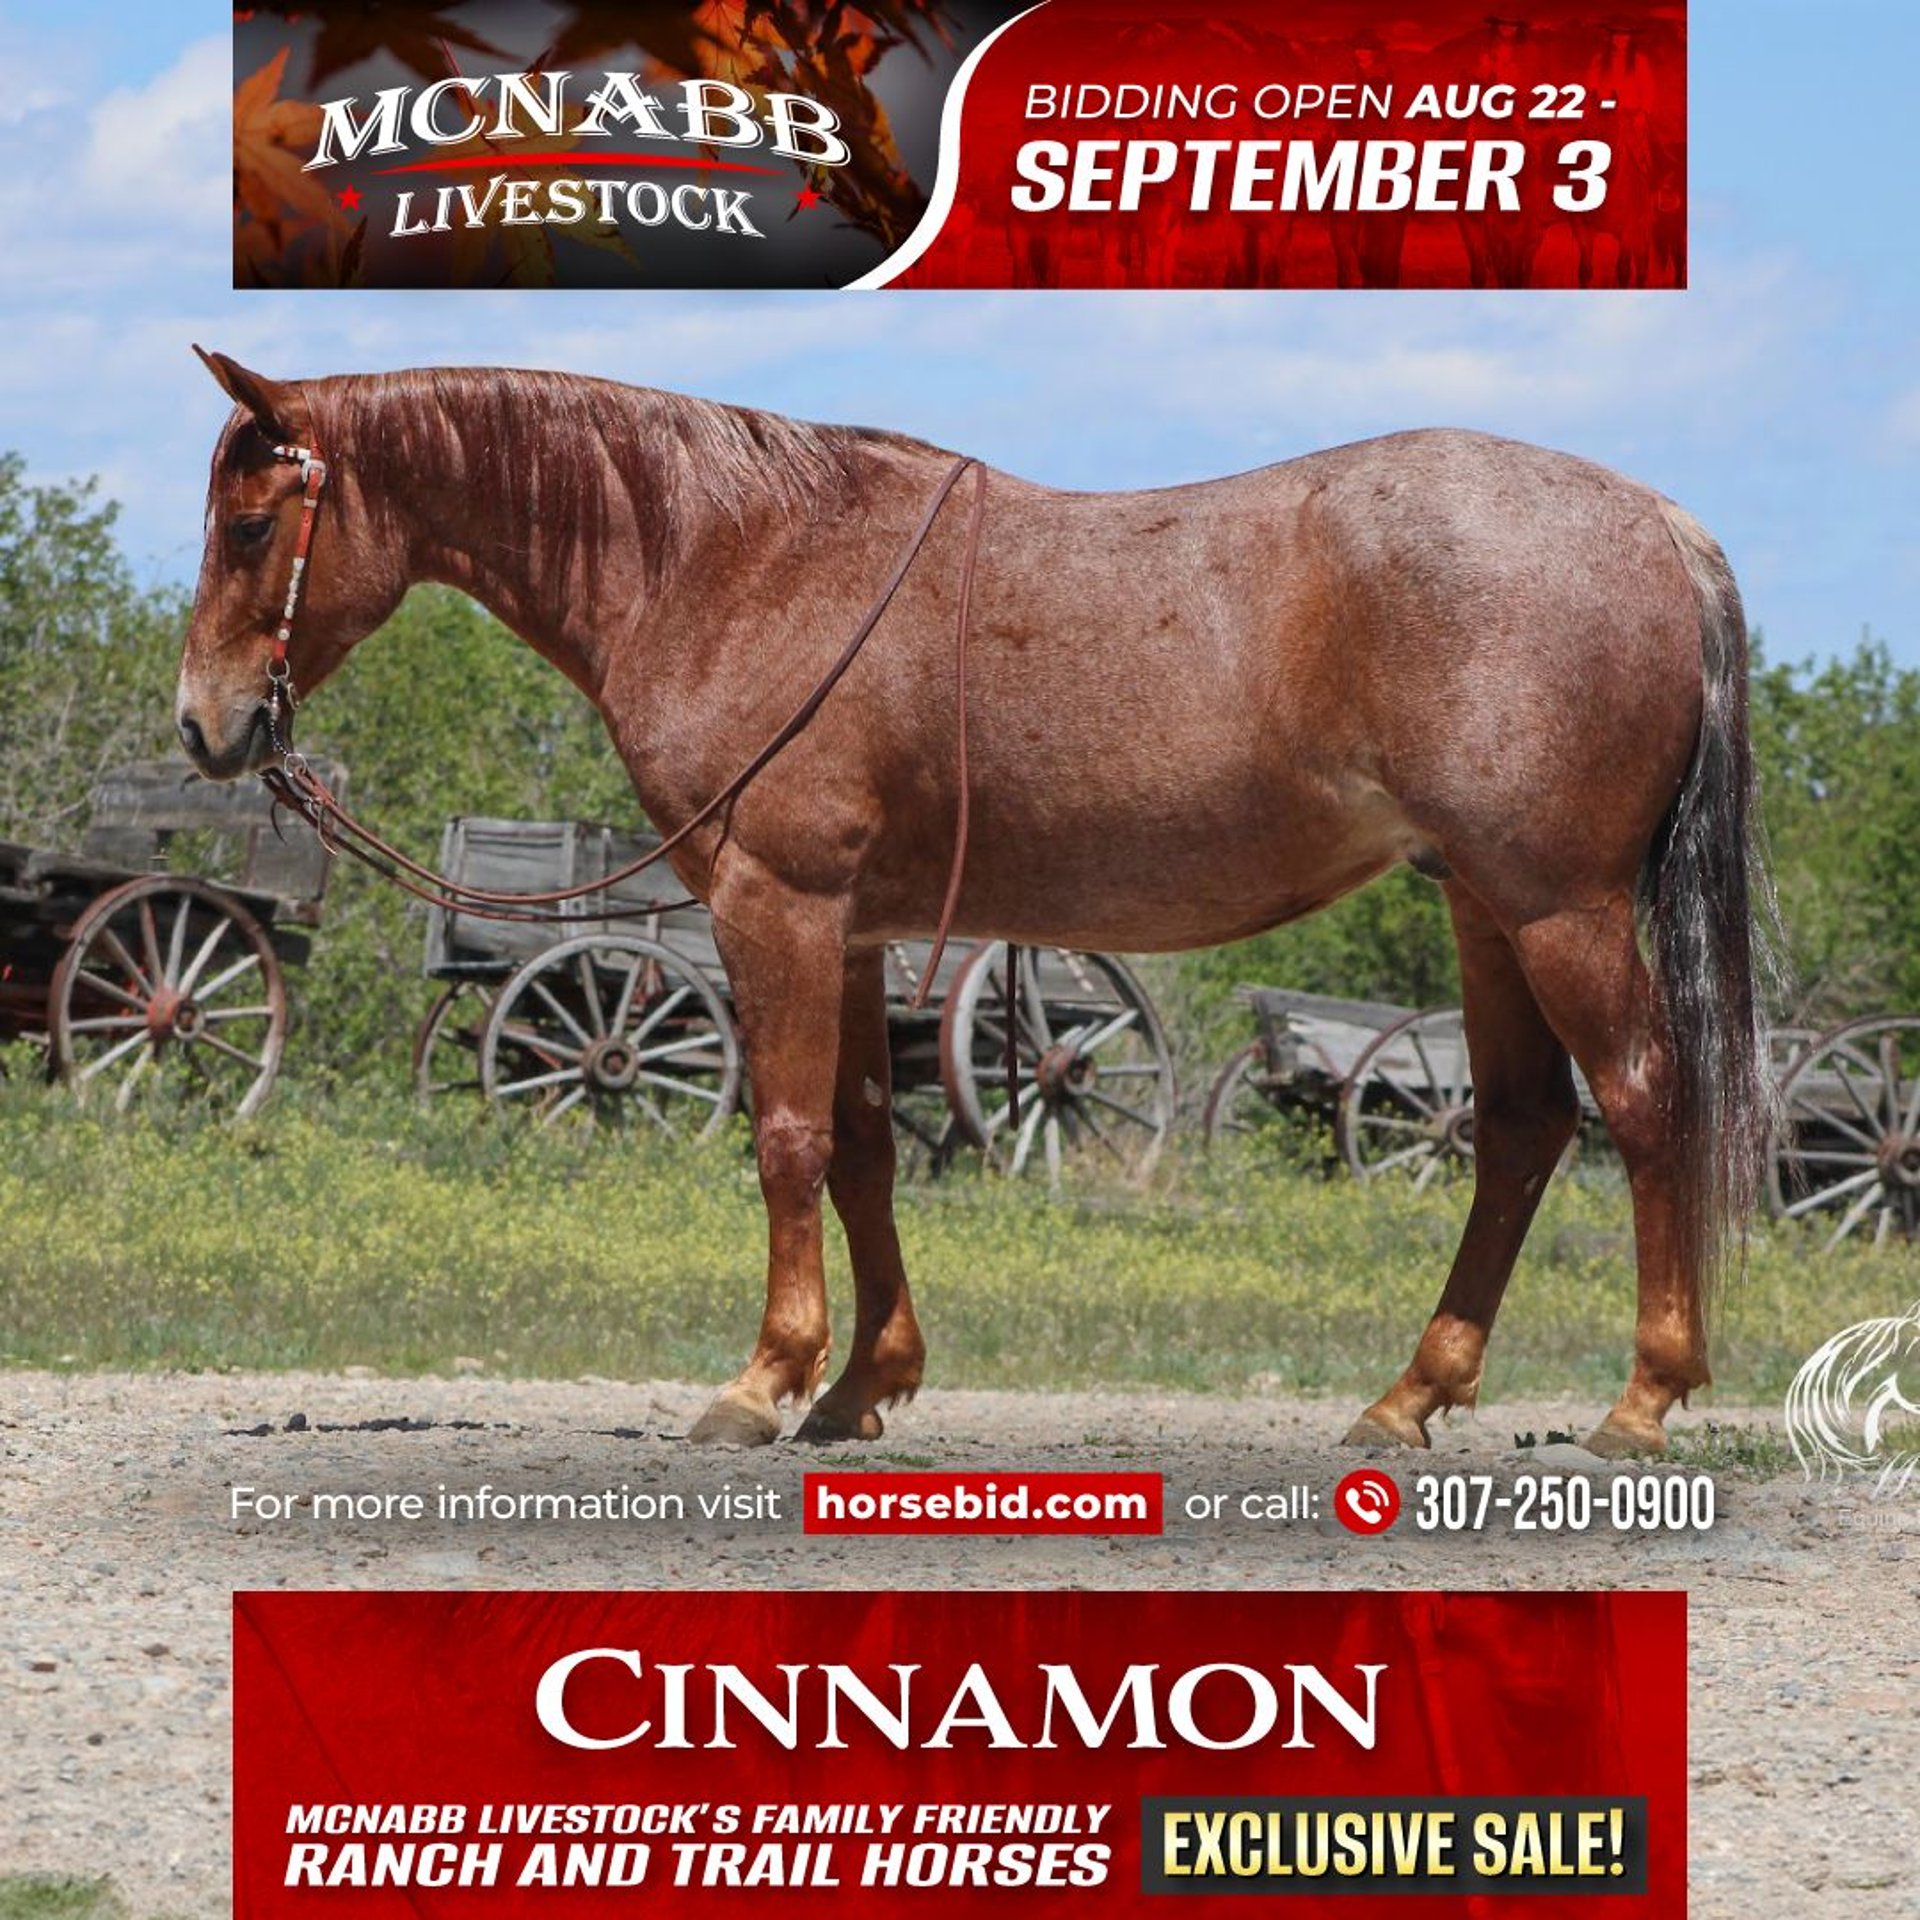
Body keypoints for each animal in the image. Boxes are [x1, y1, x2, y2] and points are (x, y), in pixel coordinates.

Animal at [176, 351, 1778, 1457]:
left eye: (252, 525)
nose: (205, 726)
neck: (735, 560)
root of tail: (1661, 525)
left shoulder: (776, 906)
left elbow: (786, 1140)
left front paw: (762, 1382)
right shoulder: (857, 930)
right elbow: (866, 1151)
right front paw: (861, 1385)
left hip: (1559, 907)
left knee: (1644, 1105)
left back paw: (1641, 1401)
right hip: (1484, 909)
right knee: (1521, 1129)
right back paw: (1407, 1398)